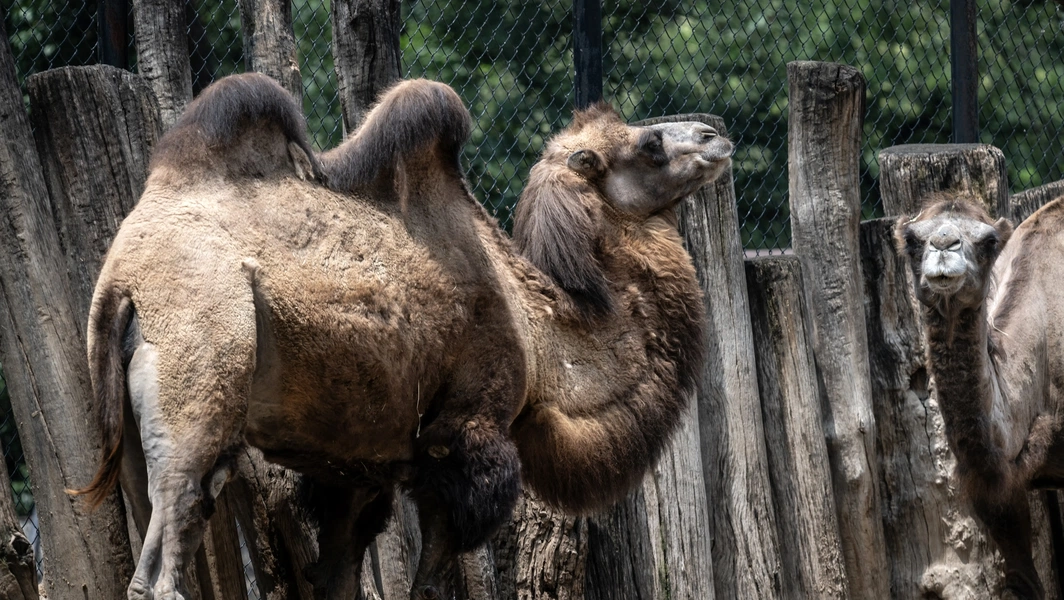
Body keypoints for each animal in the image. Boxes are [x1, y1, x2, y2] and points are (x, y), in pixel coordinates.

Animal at [72, 72, 733, 600]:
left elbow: (337, 579)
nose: (715, 135)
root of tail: (122, 282)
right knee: (165, 552)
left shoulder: (358, 471)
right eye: (647, 145)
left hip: (130, 437)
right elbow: (432, 580)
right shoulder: (463, 438)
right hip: (199, 372)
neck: (536, 332)